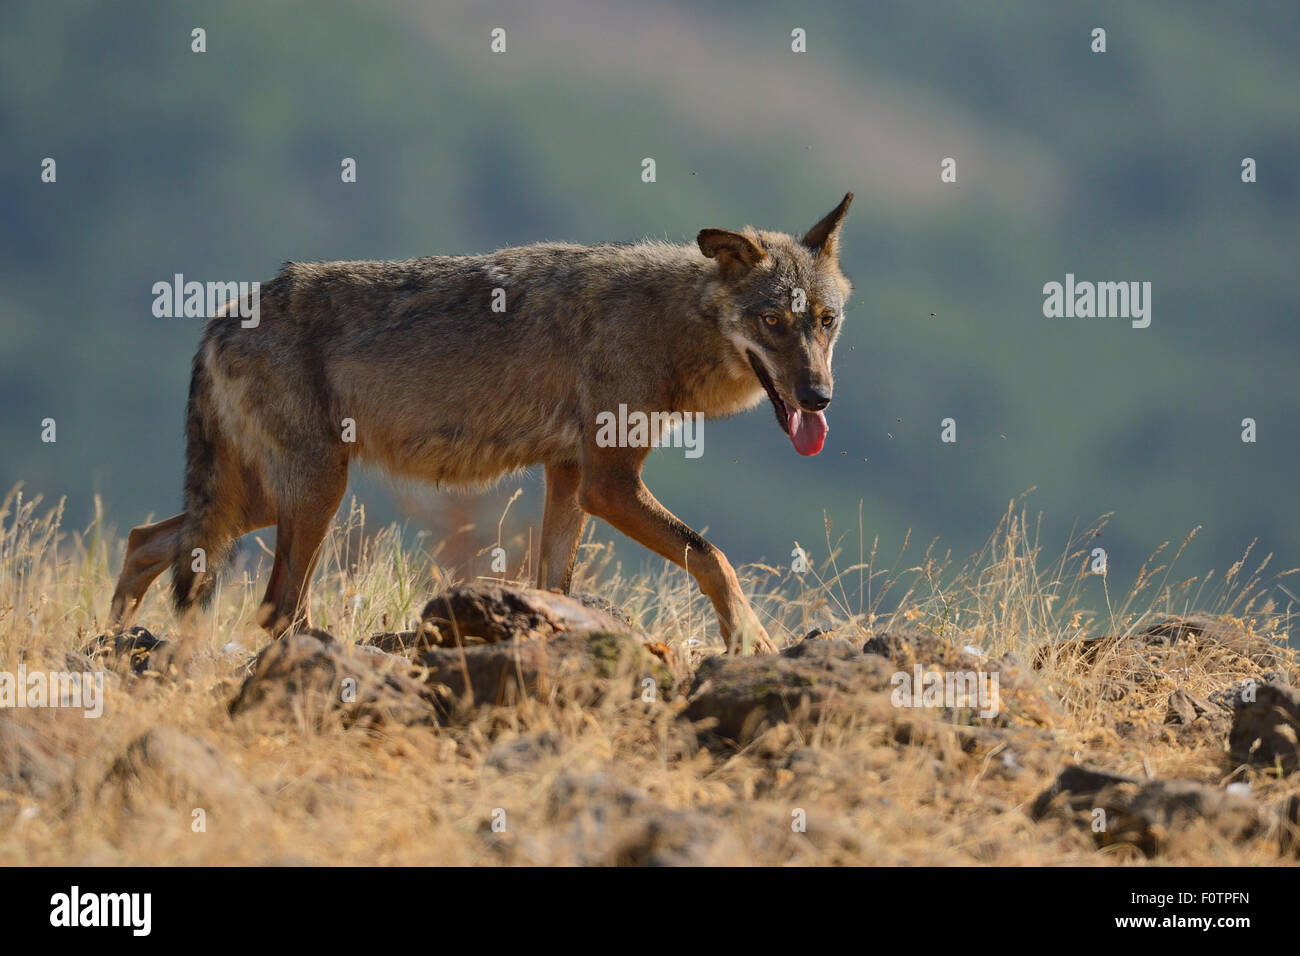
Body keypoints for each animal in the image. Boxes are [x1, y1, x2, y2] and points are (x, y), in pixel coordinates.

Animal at [108, 193, 854, 654]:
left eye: (825, 322)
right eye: (772, 321)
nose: (818, 398)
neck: (667, 320)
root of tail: (221, 315)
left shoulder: (571, 478)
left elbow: (556, 584)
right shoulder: (609, 484)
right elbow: (713, 556)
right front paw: (752, 640)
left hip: (263, 501)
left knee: (146, 541)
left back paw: (108, 642)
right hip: (314, 492)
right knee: (274, 603)